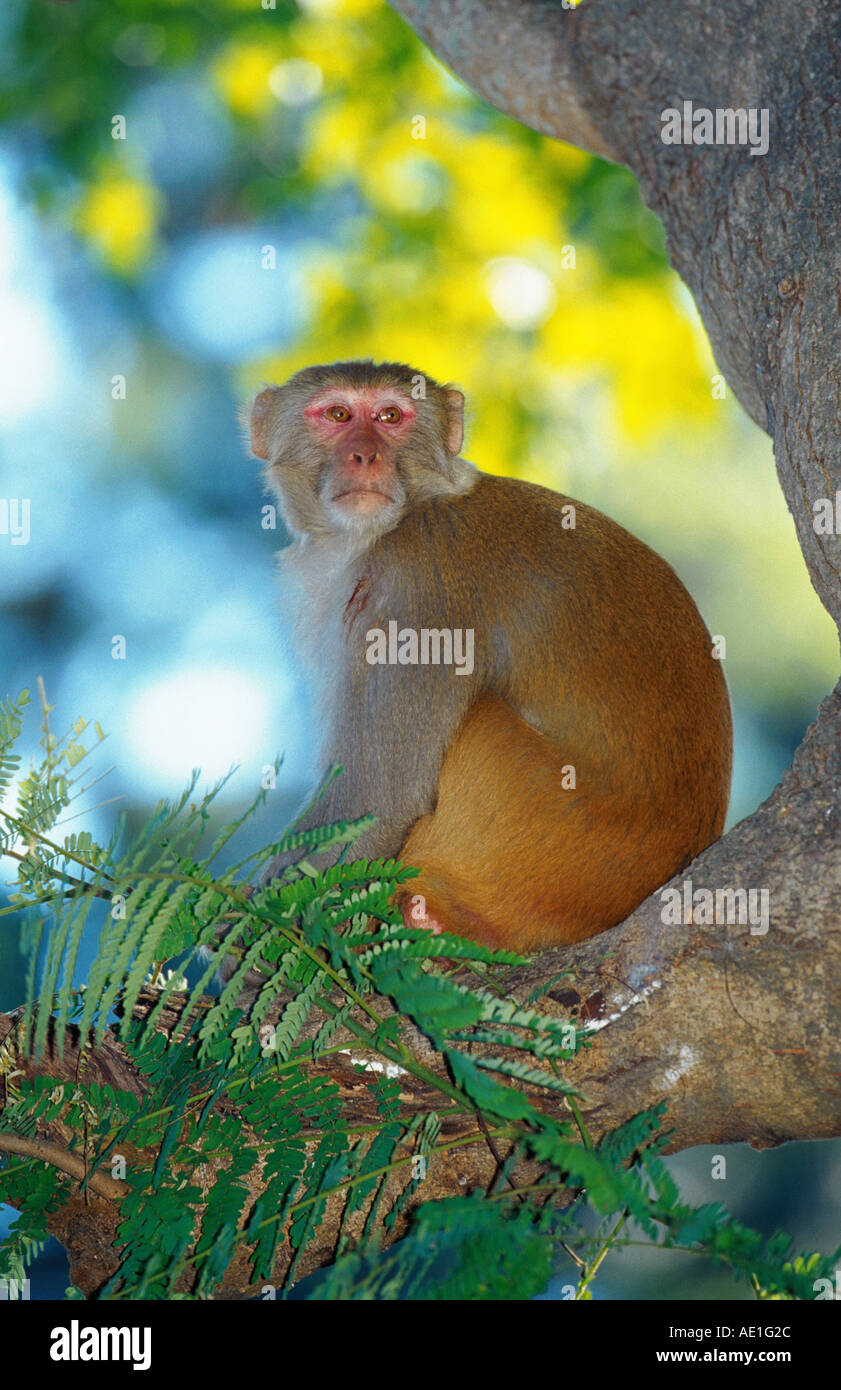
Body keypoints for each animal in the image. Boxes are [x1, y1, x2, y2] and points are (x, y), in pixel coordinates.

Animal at [248, 358, 732, 955]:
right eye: (338, 415)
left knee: (475, 718)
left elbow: (379, 797)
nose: (366, 455)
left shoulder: (422, 576)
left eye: (390, 417)